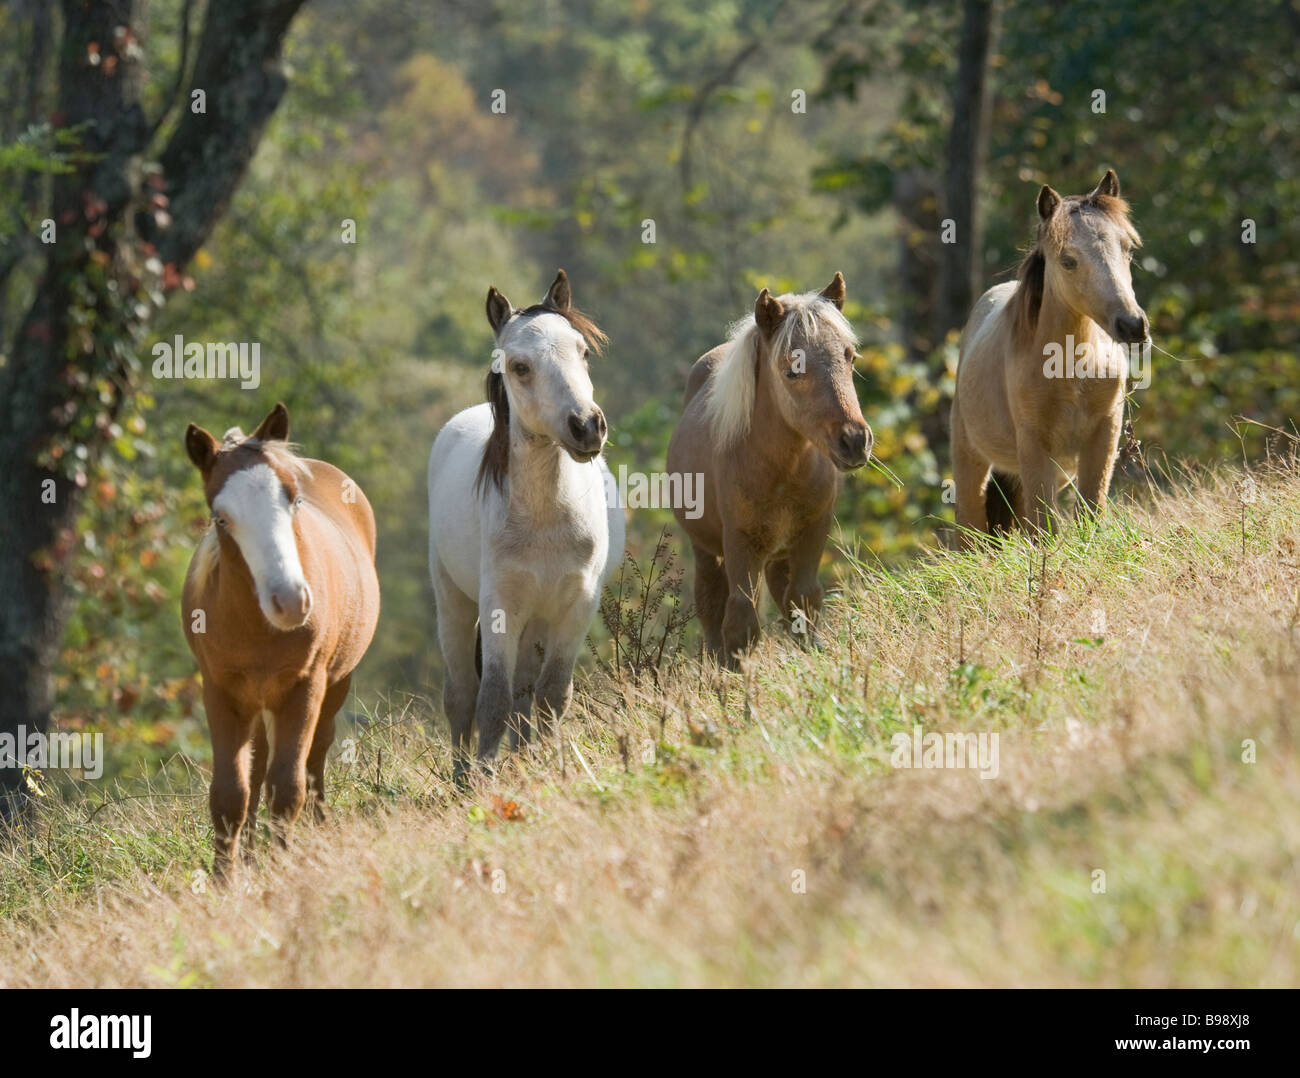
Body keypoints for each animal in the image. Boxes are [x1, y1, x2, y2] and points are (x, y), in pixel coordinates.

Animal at [182, 403, 380, 880]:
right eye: (220, 518)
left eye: (293, 499)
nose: (290, 600)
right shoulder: (222, 693)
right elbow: (230, 793)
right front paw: (225, 878)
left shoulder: (304, 688)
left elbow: (288, 787)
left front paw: (283, 866)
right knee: (256, 769)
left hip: (335, 683)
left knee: (317, 753)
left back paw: (318, 827)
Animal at [427, 269, 624, 781]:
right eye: (519, 366)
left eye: (583, 351)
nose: (586, 427)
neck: (546, 517)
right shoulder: (501, 606)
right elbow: (491, 700)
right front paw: (482, 778)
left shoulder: (576, 606)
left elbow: (551, 696)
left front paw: (555, 767)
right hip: (454, 604)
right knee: (461, 695)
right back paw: (462, 775)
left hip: (538, 619)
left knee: (523, 693)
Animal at [665, 274, 871, 667]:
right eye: (793, 368)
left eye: (849, 355)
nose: (854, 440)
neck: (780, 472)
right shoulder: (739, 543)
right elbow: (740, 622)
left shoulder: (812, 532)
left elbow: (804, 599)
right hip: (707, 549)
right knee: (711, 606)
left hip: (777, 554)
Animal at [950, 168, 1149, 545]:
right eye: (1068, 261)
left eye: (1128, 249)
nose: (1132, 325)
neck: (1071, 369)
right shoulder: (1034, 443)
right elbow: (1045, 526)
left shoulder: (1103, 435)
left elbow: (1090, 509)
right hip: (971, 460)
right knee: (971, 530)